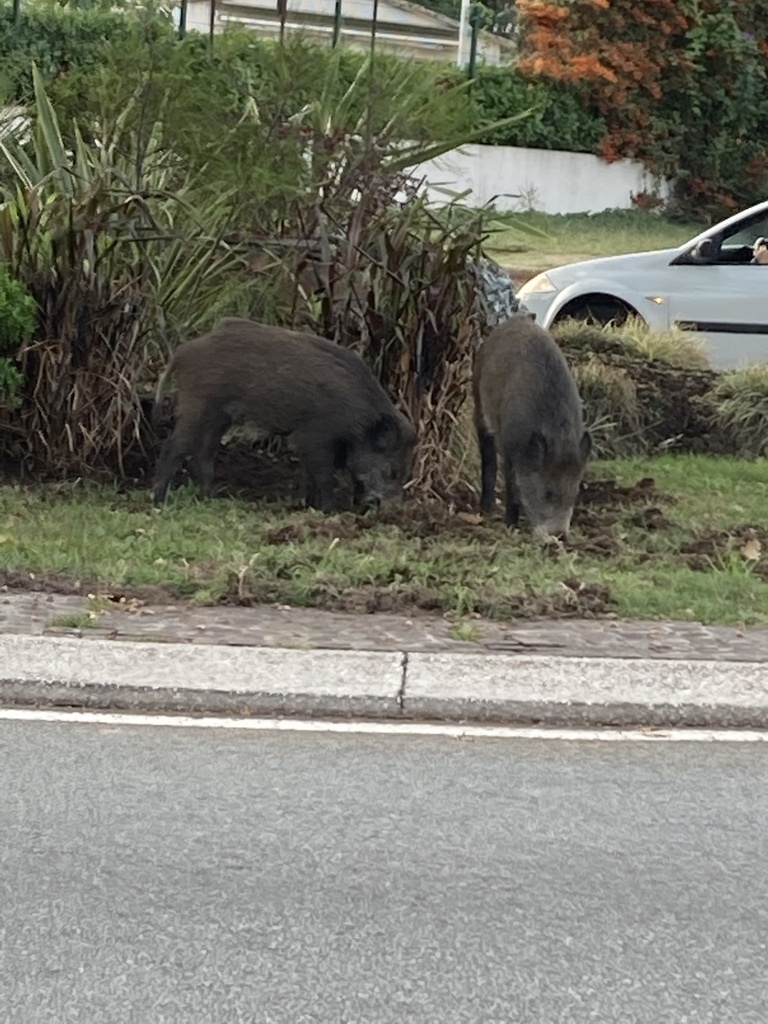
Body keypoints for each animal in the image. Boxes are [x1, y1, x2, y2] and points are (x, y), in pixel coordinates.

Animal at [151, 318, 416, 512]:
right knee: (175, 446)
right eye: (393, 471)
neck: (360, 420)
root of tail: (182, 352)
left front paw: (310, 506)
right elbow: (323, 476)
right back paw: (158, 500)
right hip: (198, 406)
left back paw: (209, 499)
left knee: (205, 452)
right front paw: (329, 511)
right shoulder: (316, 436)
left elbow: (310, 476)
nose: (392, 509)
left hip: (219, 416)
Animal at [472, 315, 591, 537]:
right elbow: (512, 486)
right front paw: (511, 524)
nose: (559, 535)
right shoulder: (509, 448)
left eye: (574, 492)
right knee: (488, 456)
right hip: (478, 404)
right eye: (547, 493)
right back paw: (486, 509)